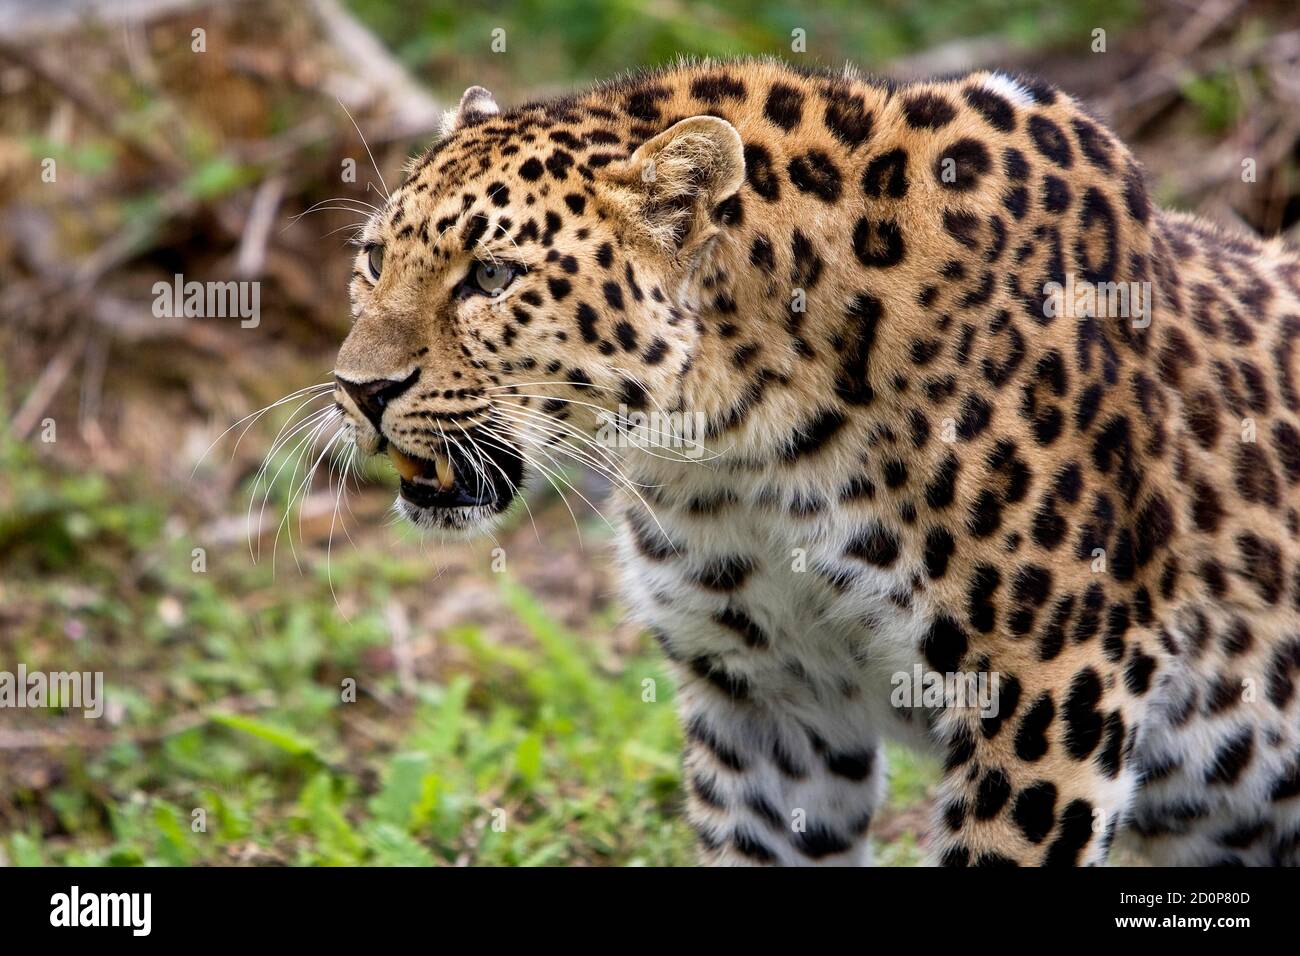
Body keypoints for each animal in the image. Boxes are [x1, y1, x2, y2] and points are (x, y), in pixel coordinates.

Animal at [329, 57, 1300, 866]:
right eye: (373, 259)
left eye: (491, 277)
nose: (358, 388)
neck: (737, 451)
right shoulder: (765, 706)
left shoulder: (1050, 690)